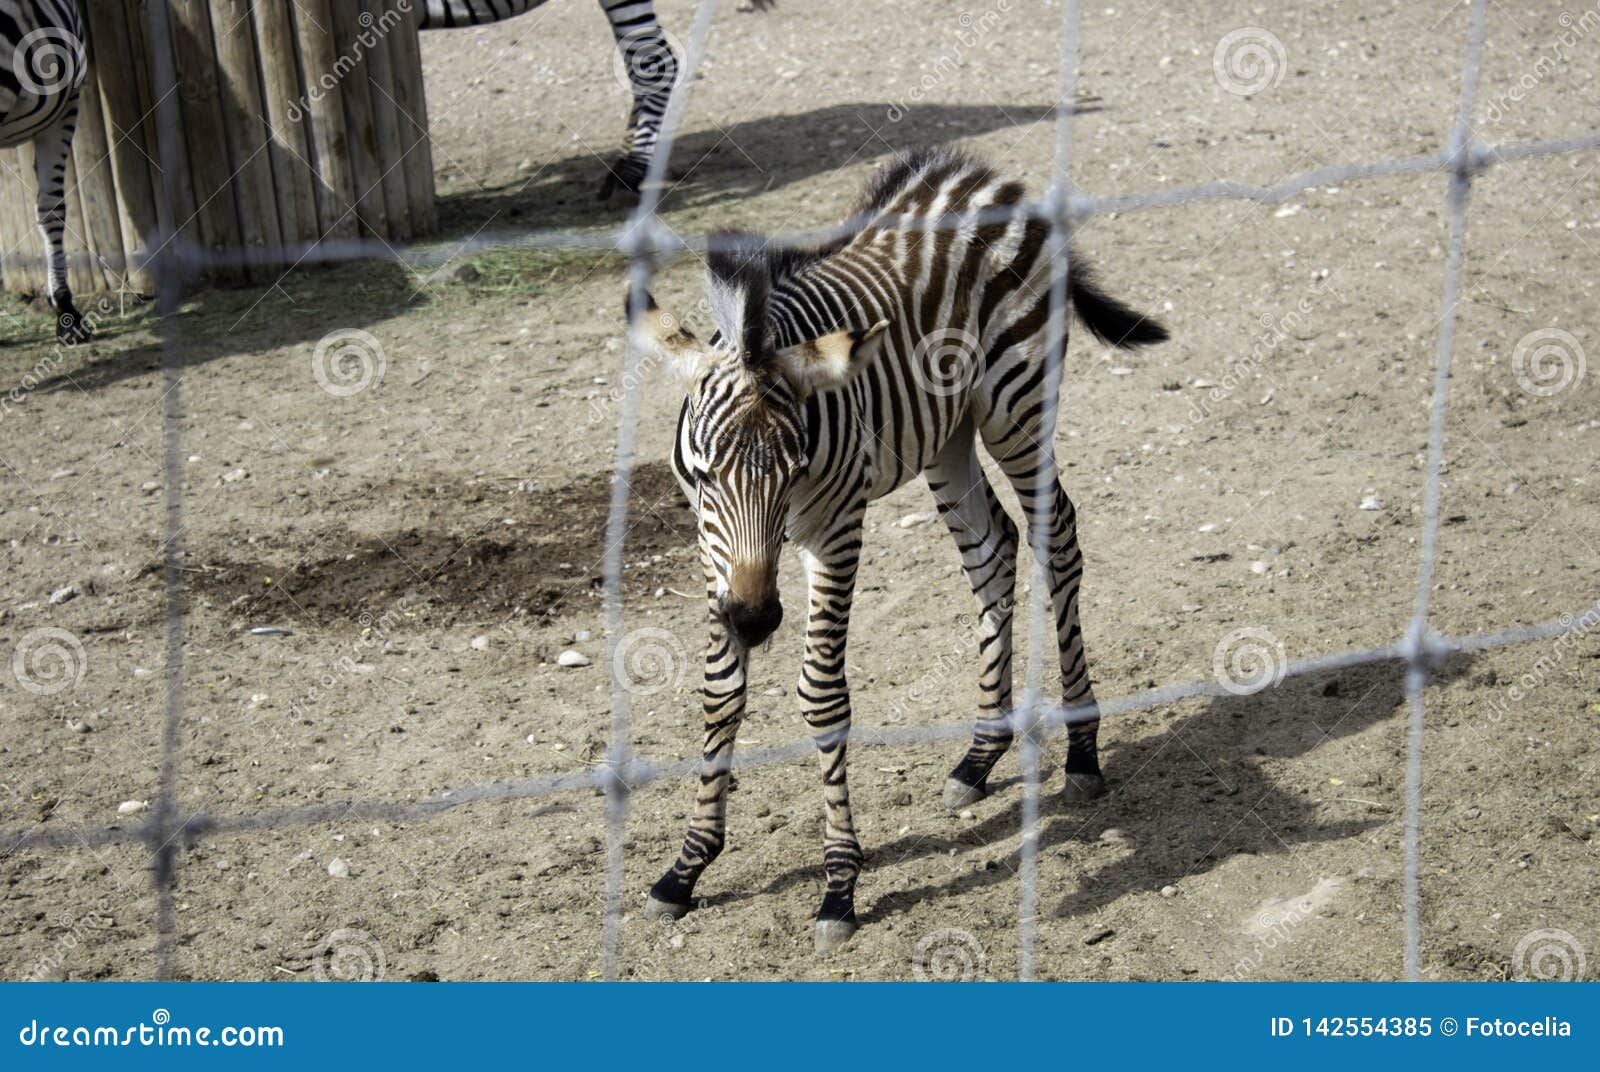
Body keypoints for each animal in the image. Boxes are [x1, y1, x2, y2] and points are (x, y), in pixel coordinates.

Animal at [629, 147, 1168, 953]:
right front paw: (687, 866)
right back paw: (979, 757)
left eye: (795, 468)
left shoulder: (835, 529)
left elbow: (822, 697)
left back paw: (1081, 752)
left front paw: (839, 886)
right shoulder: (709, 543)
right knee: (992, 550)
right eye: (701, 474)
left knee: (1057, 537)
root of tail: (986, 176)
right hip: (947, 431)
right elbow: (720, 690)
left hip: (1017, 406)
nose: (755, 622)